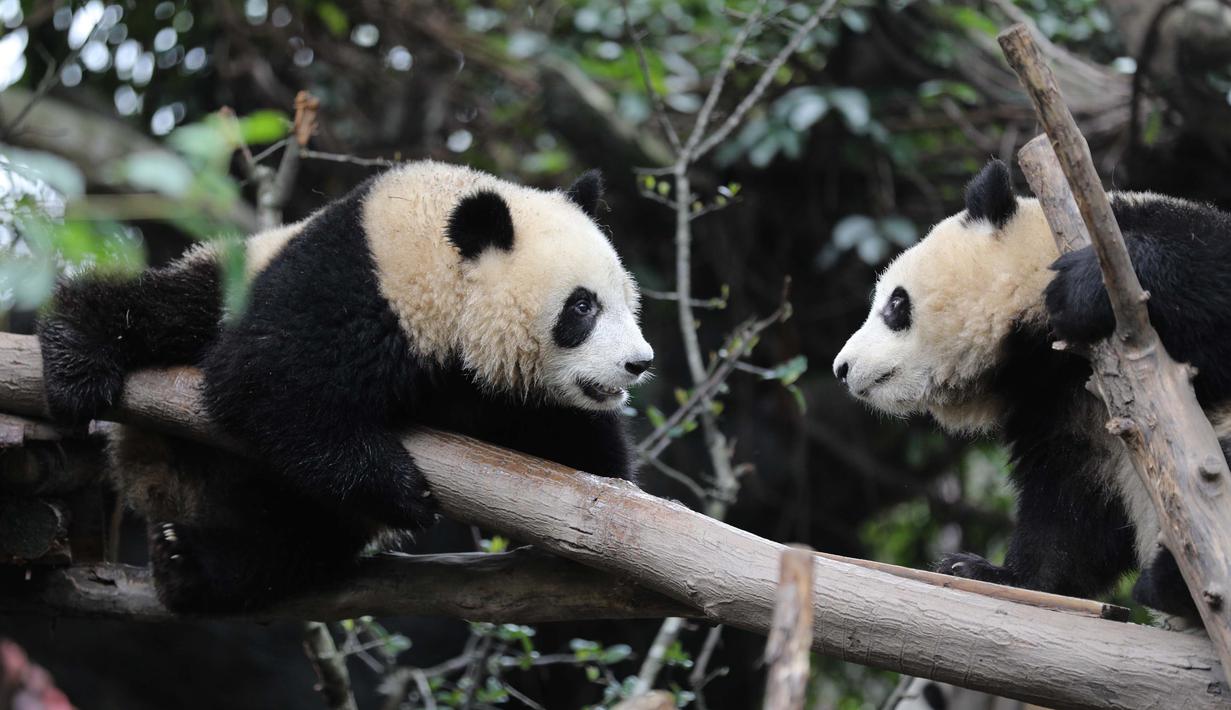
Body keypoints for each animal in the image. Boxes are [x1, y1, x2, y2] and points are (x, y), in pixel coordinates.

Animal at [37, 161, 655, 612]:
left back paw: (188, 564)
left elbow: (589, 462)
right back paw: (77, 355)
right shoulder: (357, 281)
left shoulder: (516, 399)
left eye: (628, 300)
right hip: (234, 279)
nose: (638, 363)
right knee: (165, 307)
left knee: (290, 540)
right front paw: (399, 488)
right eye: (582, 307)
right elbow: (265, 380)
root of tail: (160, 479)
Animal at [832, 159, 1231, 623]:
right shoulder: (1056, 404)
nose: (842, 368)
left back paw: (1169, 581)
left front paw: (1086, 284)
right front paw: (985, 571)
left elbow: (1205, 270)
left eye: (896, 304)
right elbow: (1071, 508)